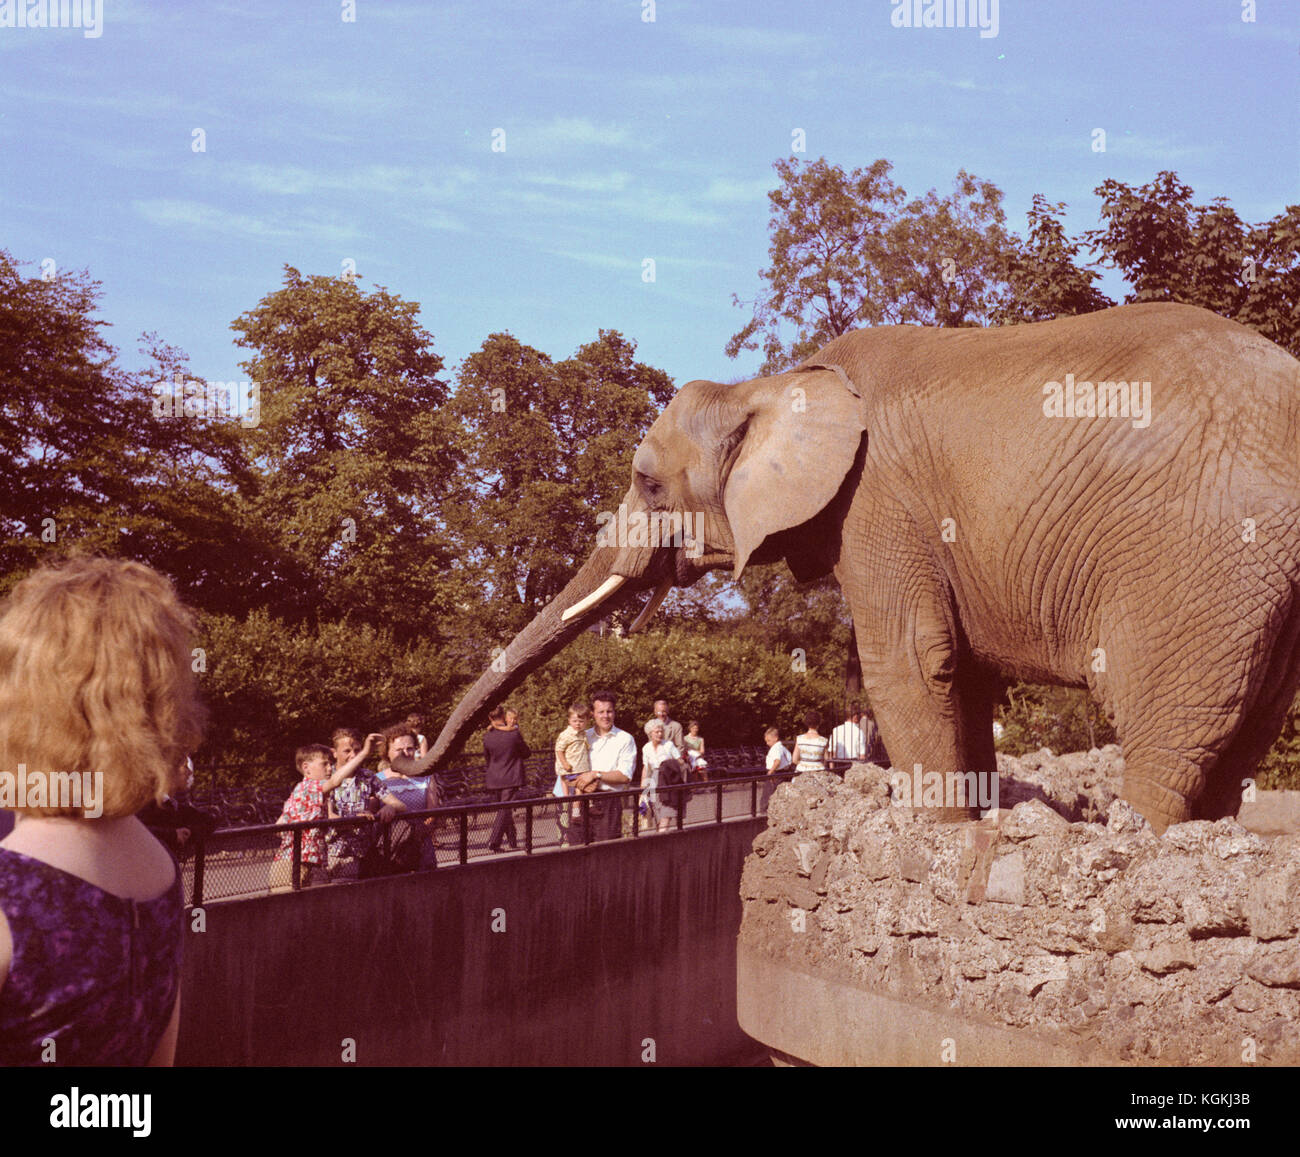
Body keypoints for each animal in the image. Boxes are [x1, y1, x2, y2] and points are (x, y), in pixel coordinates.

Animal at [400, 303, 1300, 834]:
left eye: (649, 482)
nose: (400, 755)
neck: (773, 383)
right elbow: (962, 676)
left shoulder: (880, 503)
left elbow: (911, 661)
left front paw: (942, 838)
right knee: (1242, 727)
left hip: (1201, 563)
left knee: (1162, 724)